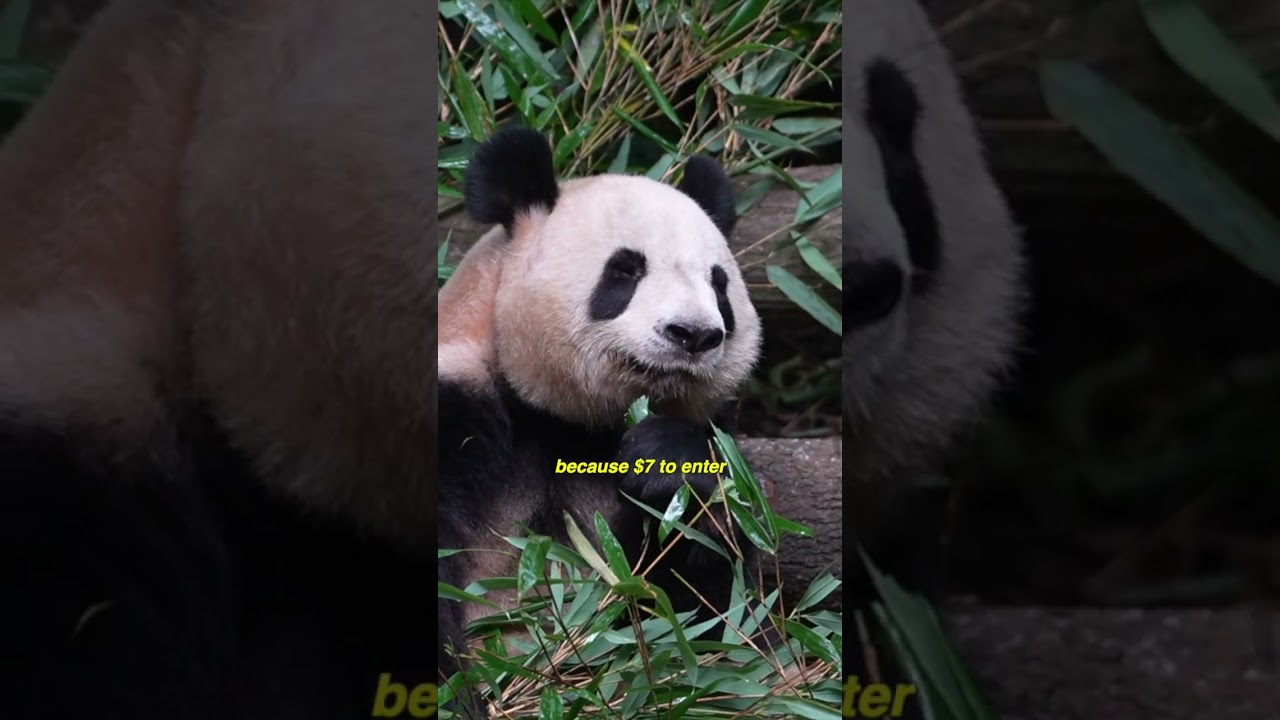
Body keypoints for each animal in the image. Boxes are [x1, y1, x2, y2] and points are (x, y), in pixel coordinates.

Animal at [437, 126, 764, 705]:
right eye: (625, 271)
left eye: (719, 284)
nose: (694, 335)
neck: (559, 418)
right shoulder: (455, 409)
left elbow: (707, 620)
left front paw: (664, 462)